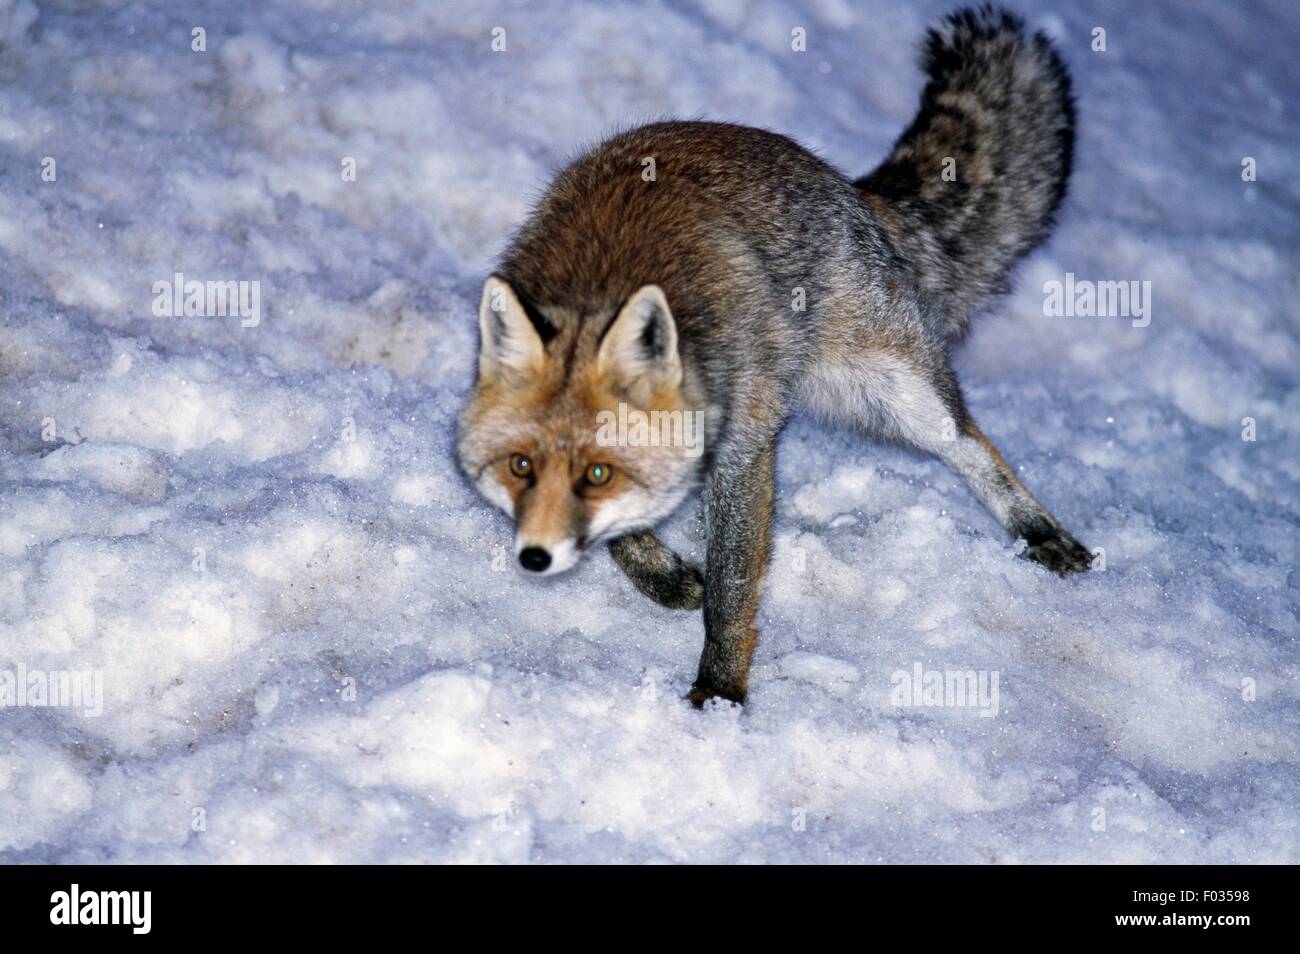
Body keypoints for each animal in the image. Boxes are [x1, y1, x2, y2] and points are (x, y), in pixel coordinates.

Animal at [458, 5, 1089, 706]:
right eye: (519, 467)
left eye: (597, 473)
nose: (534, 559)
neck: (603, 283)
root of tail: (841, 180)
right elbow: (631, 540)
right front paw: (666, 578)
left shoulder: (743, 448)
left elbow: (731, 591)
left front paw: (719, 695)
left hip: (891, 392)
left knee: (969, 441)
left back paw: (1039, 531)